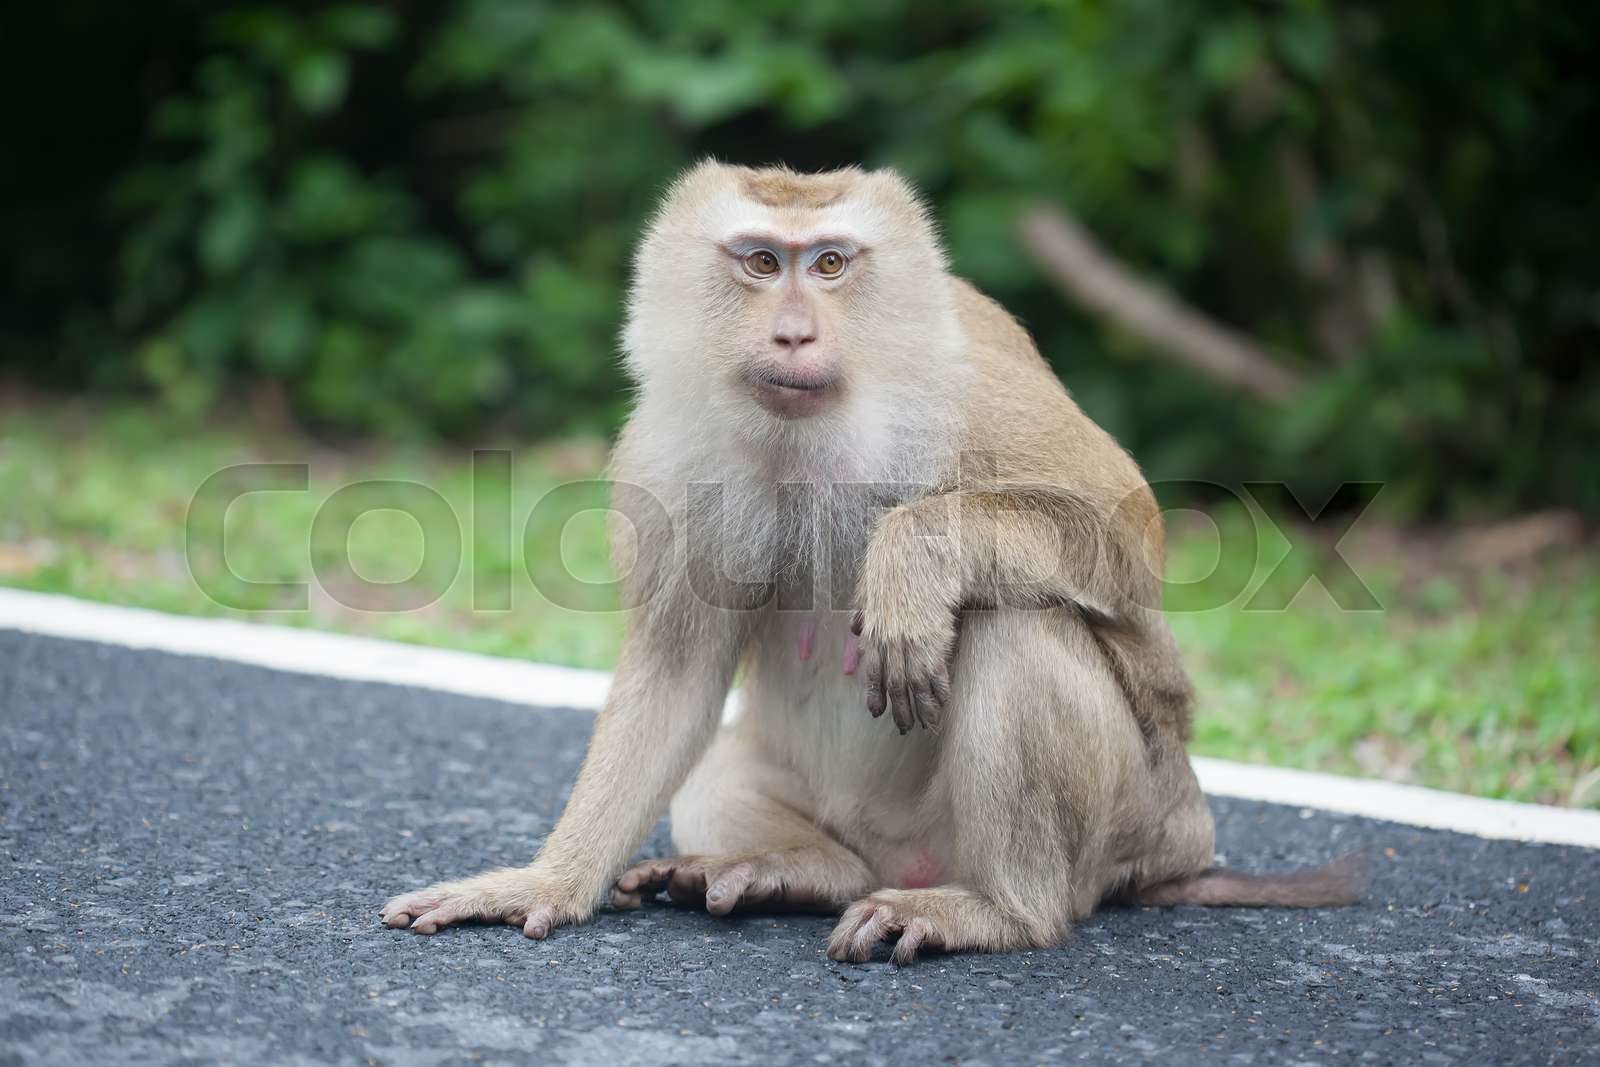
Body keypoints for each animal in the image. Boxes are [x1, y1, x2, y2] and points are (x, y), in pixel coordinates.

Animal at [380, 162, 1361, 963]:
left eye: (830, 266)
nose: (793, 336)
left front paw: (912, 562)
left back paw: (1004, 910)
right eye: (761, 263)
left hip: (1124, 819)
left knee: (1016, 625)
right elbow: (675, 668)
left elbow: (1128, 531)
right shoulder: (665, 453)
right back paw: (799, 869)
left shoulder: (968, 381)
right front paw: (544, 882)